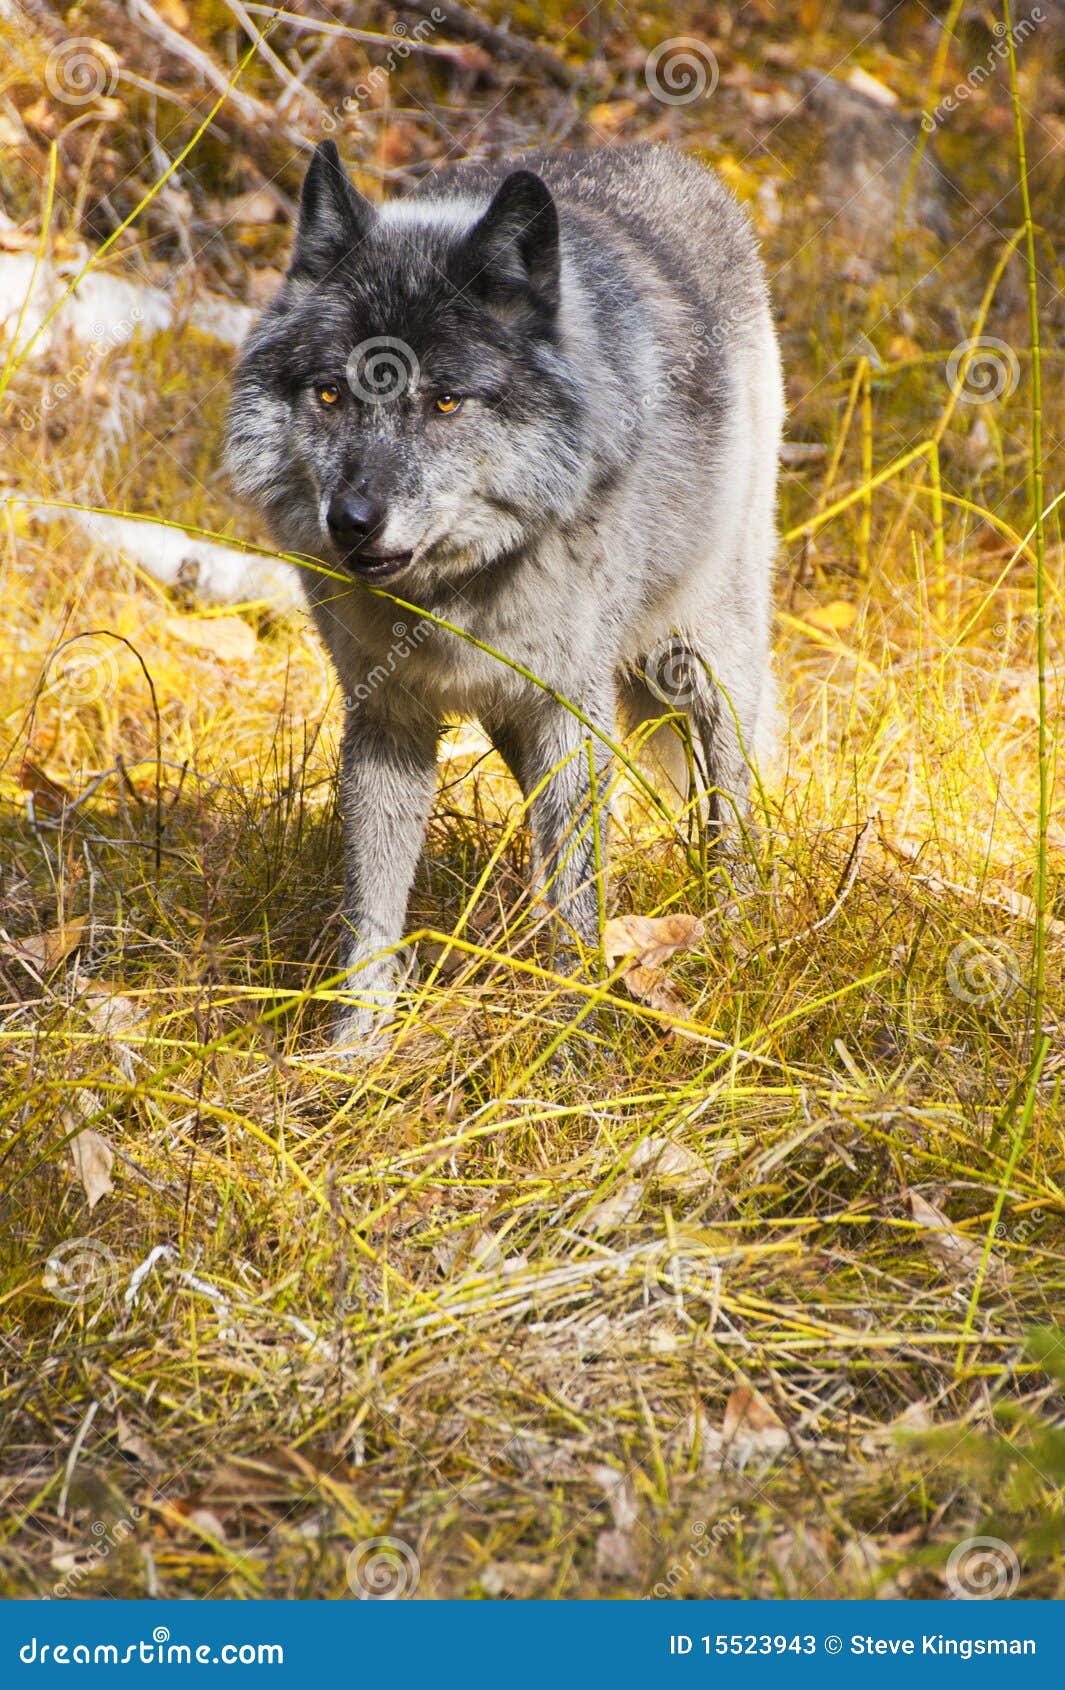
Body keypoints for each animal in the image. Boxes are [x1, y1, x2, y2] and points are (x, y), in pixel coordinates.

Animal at [226, 140, 784, 1047]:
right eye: (332, 393)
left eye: (445, 401)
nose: (352, 523)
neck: (449, 593)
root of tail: (671, 160)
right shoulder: (387, 719)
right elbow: (372, 908)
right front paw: (353, 1050)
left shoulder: (570, 709)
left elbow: (581, 892)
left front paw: (569, 1035)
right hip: (514, 718)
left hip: (701, 664)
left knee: (730, 802)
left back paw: (736, 929)